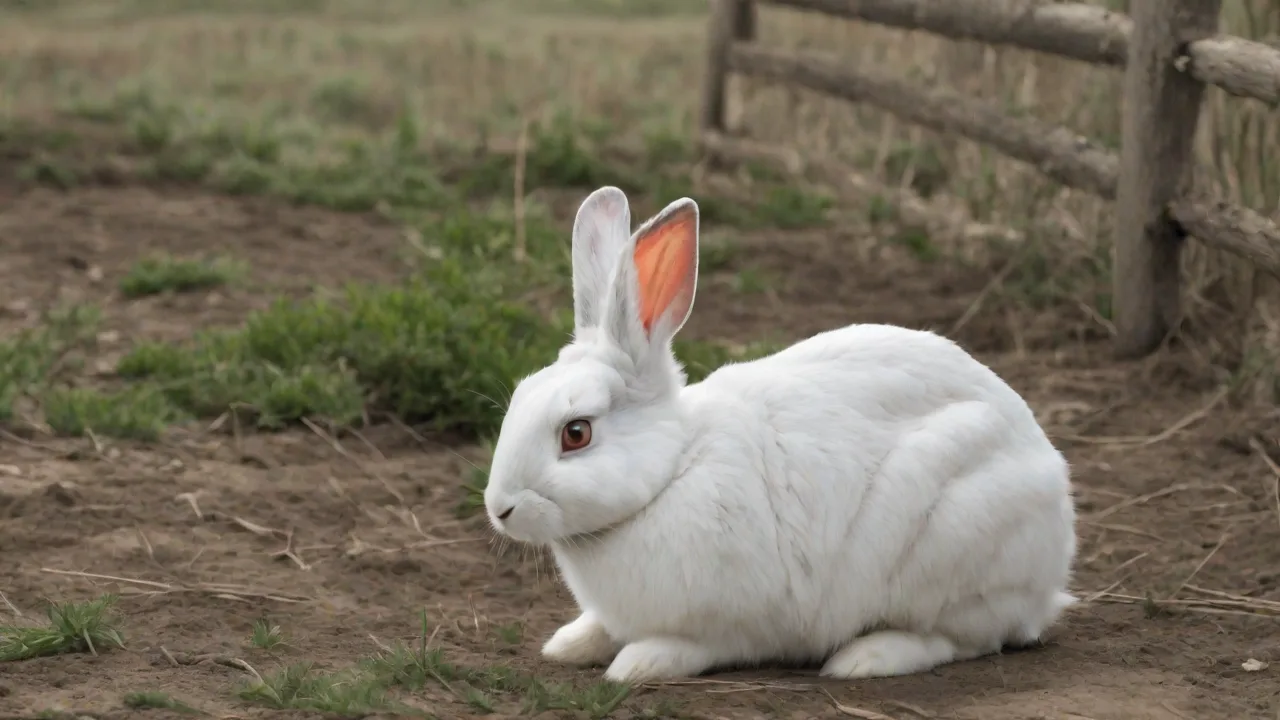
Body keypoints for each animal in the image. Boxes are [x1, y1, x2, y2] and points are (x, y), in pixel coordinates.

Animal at [483, 186, 1077, 684]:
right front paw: (568, 644)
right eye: (520, 396)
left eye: (576, 433)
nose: (500, 508)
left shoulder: (735, 623)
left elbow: (694, 647)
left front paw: (638, 663)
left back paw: (866, 658)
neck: (674, 469)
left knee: (963, 638)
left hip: (952, 544)